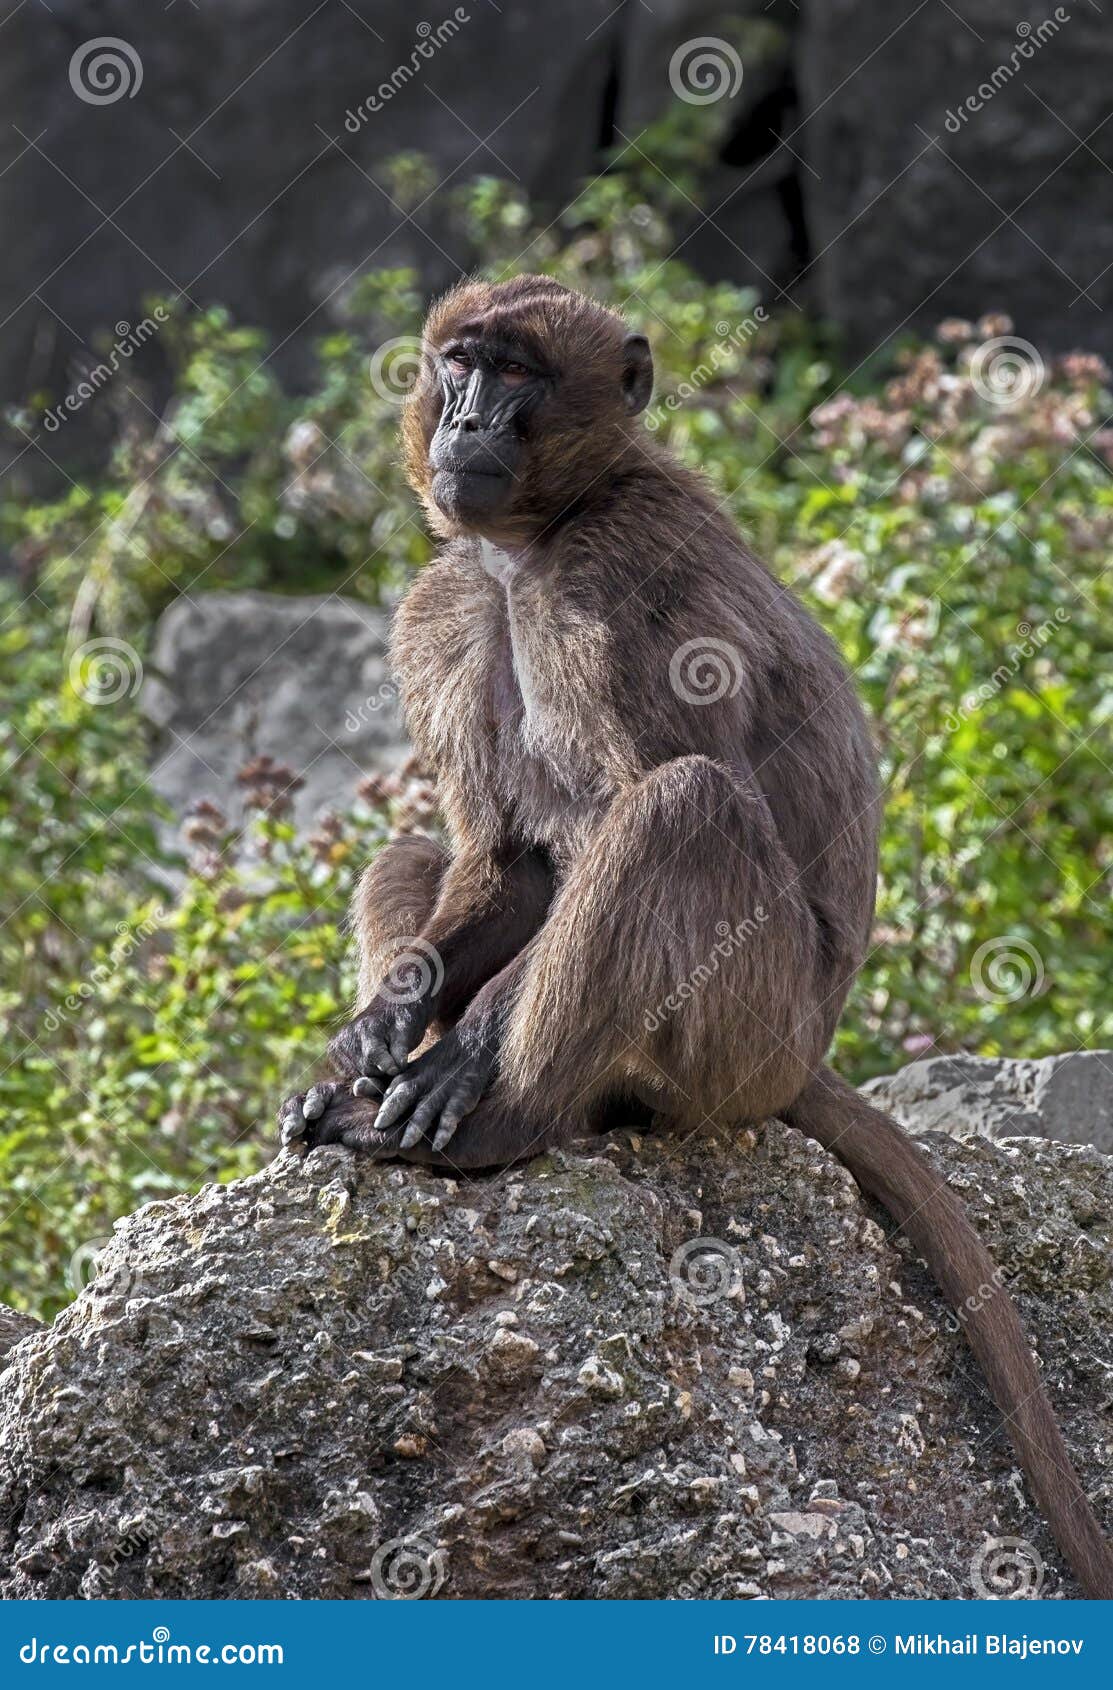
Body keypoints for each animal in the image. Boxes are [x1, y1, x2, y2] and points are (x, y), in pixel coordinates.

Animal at [278, 274, 1113, 1598]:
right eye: (459, 363)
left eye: (517, 373)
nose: (466, 420)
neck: (530, 547)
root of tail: (810, 1053)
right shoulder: (447, 607)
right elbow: (500, 860)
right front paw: (377, 1035)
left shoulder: (618, 586)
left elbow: (632, 804)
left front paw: (454, 1065)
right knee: (413, 853)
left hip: (747, 1034)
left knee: (684, 806)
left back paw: (503, 1119)